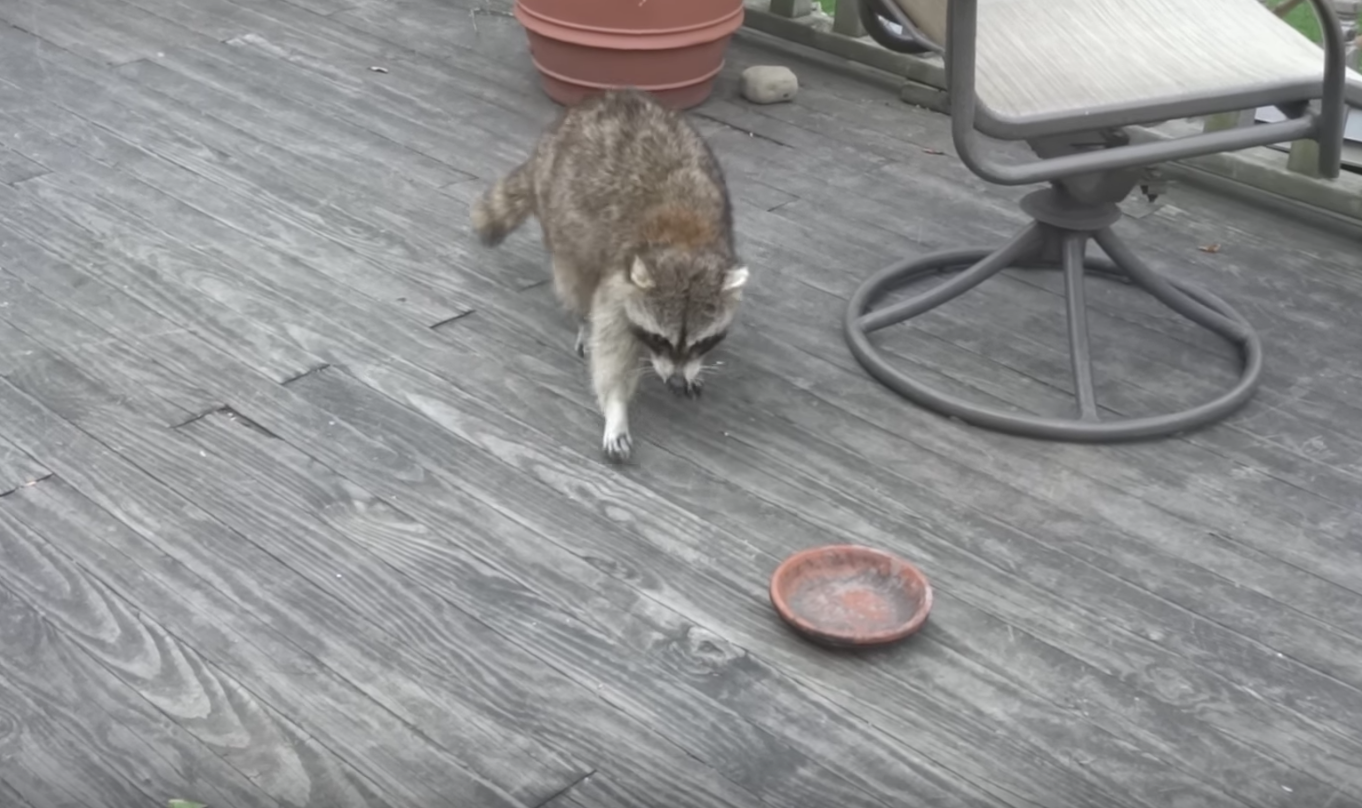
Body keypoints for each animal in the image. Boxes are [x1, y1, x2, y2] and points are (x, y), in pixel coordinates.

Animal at [471, 88, 749, 464]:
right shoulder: (619, 282)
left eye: (700, 342)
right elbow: (612, 353)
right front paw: (616, 410)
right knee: (574, 282)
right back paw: (582, 322)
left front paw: (694, 368)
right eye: (660, 339)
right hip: (561, 219)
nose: (675, 381)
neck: (685, 240)